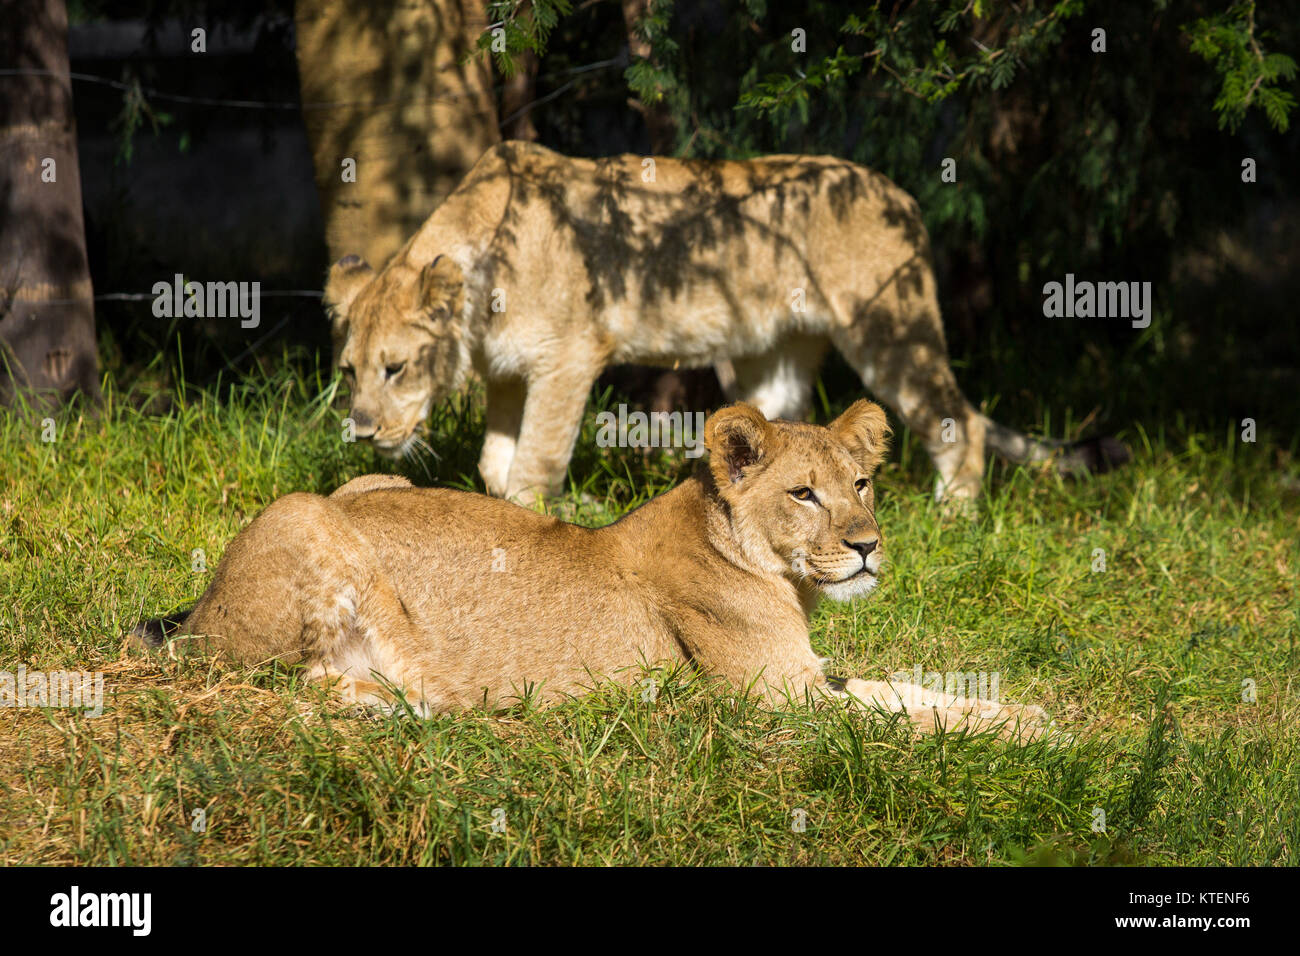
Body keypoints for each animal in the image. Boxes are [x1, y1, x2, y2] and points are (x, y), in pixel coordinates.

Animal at [133, 401, 1046, 739]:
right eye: (803, 493)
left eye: (860, 483)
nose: (866, 545)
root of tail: (201, 605)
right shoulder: (775, 702)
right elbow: (904, 720)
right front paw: (1028, 733)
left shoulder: (809, 675)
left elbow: (906, 692)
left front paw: (1028, 712)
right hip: (305, 515)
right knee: (287, 679)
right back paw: (422, 702)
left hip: (361, 482)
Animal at [323, 141, 1123, 504]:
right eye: (350, 372)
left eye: (396, 367)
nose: (361, 432)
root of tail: (898, 193)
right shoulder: (509, 372)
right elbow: (496, 461)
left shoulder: (571, 356)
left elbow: (534, 462)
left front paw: (548, 512)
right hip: (780, 350)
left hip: (888, 326)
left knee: (962, 419)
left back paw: (956, 515)